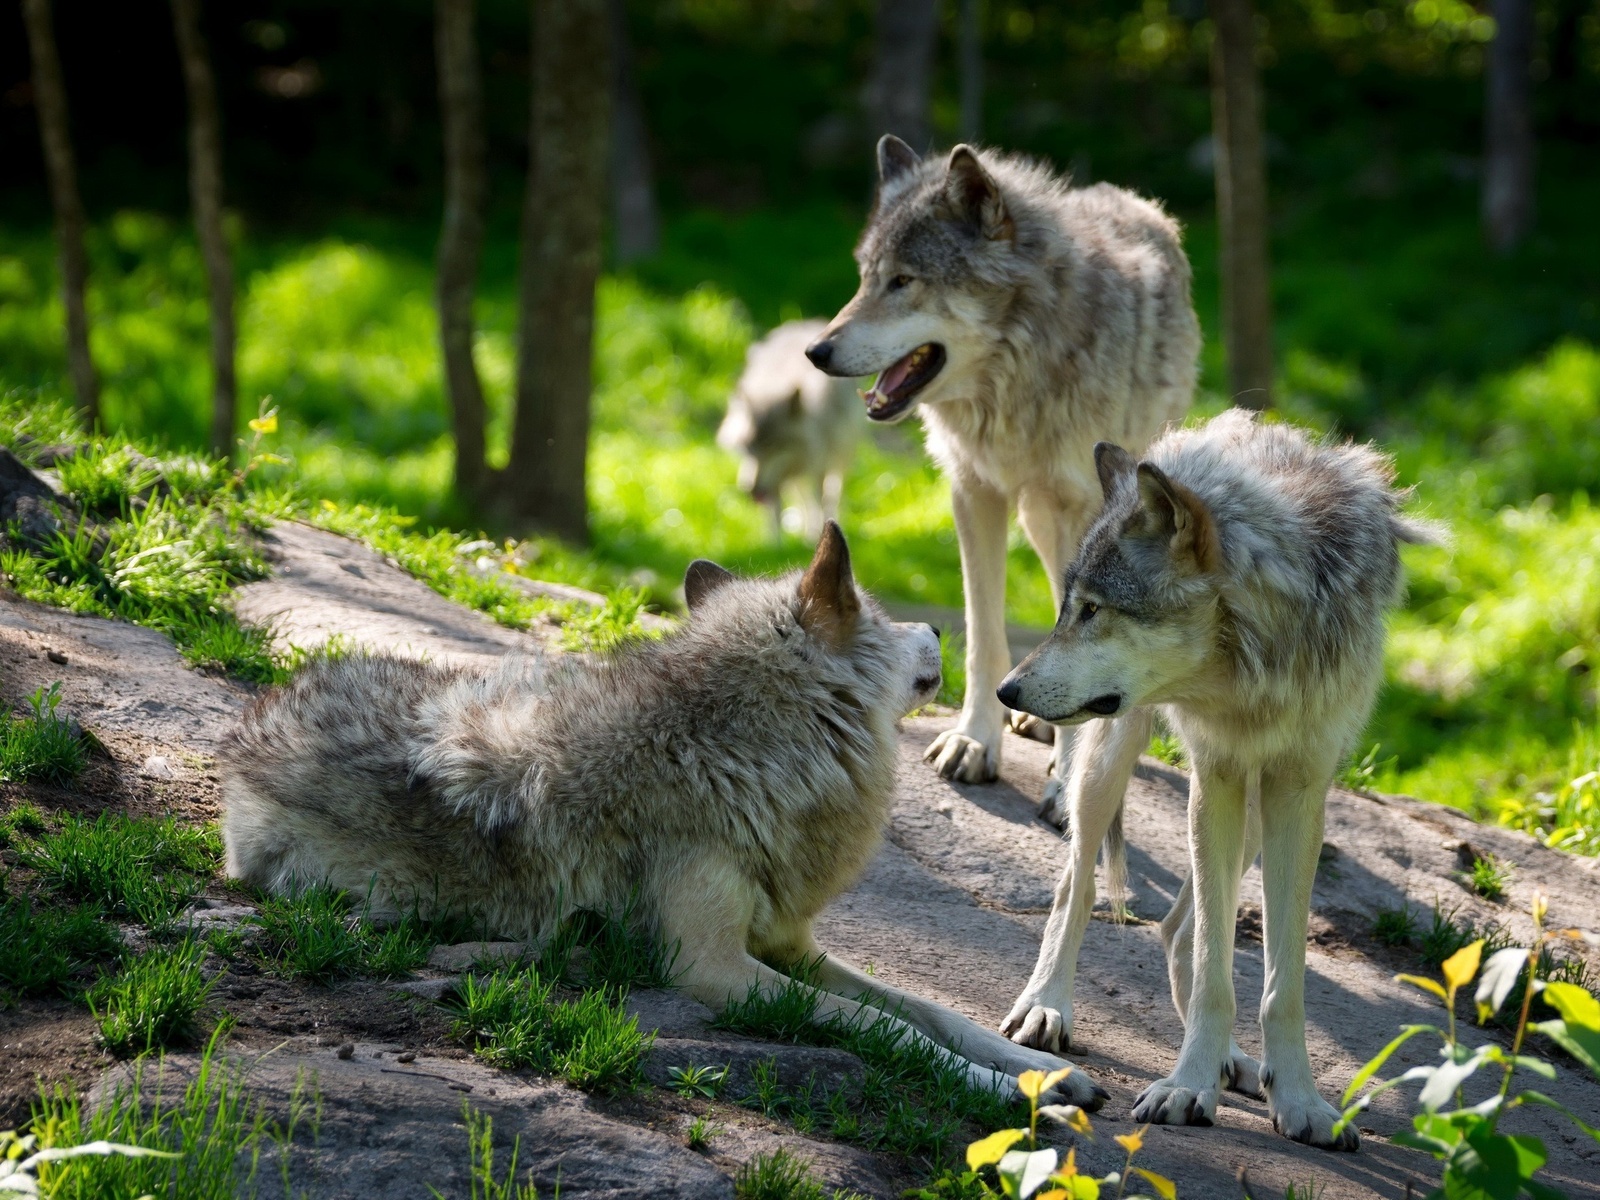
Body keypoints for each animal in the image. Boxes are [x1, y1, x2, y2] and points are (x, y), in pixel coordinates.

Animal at [221, 523, 1095, 1105]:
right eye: (878, 612)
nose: (938, 626)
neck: (731, 750)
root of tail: (253, 719)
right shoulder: (714, 968)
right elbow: (895, 1030)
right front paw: (1019, 1096)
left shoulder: (790, 944)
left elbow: (937, 1012)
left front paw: (1049, 1071)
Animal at [717, 319, 864, 540]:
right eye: (748, 447)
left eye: (772, 446)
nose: (749, 489)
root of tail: (805, 322)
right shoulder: (777, 478)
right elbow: (775, 514)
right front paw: (775, 543)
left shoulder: (817, 465)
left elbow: (820, 501)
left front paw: (815, 534)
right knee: (802, 496)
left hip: (840, 457)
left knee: (832, 494)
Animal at [806, 136, 1199, 811]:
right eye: (864, 279)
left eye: (904, 281)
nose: (816, 351)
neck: (1016, 385)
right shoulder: (973, 491)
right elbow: (985, 635)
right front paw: (975, 740)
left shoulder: (1077, 509)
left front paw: (1067, 779)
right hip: (1036, 519)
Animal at [994, 410, 1438, 1149]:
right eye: (1067, 608)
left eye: (1094, 610)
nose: (1006, 690)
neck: (1258, 654)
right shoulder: (1218, 772)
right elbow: (1214, 971)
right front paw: (1186, 1087)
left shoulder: (1298, 786)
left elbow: (1280, 981)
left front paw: (1300, 1101)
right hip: (1111, 762)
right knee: (1076, 887)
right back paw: (1045, 1008)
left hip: (1255, 812)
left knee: (1177, 930)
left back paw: (1236, 1063)